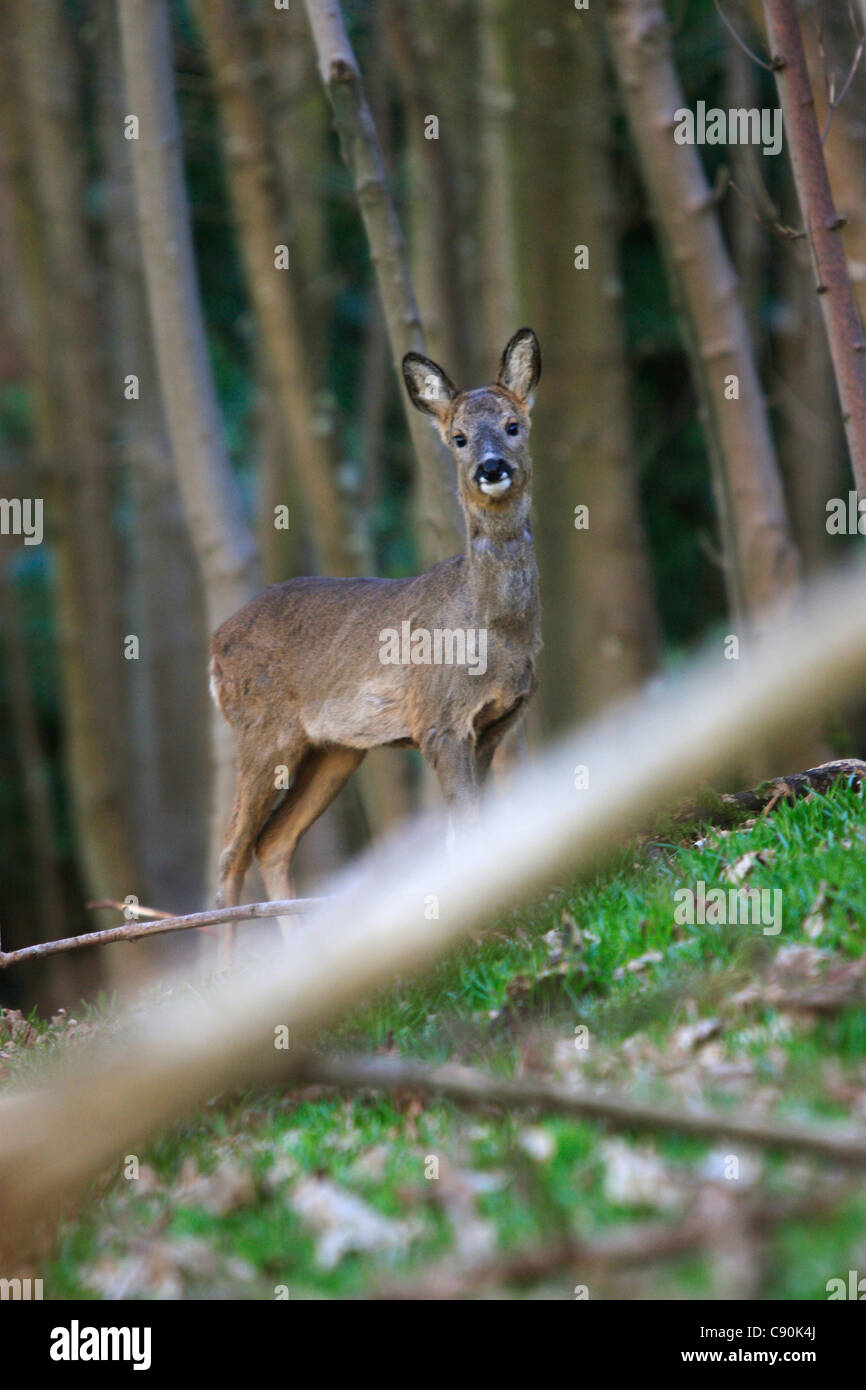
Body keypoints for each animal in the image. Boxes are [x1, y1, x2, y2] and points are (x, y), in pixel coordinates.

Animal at [208, 327, 542, 942]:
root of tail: (216, 644)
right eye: (458, 437)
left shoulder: (496, 724)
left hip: (336, 748)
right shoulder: (439, 720)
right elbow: (463, 832)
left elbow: (476, 832)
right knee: (231, 854)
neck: (490, 631)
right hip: (261, 730)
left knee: (273, 842)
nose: (490, 468)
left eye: (514, 425)